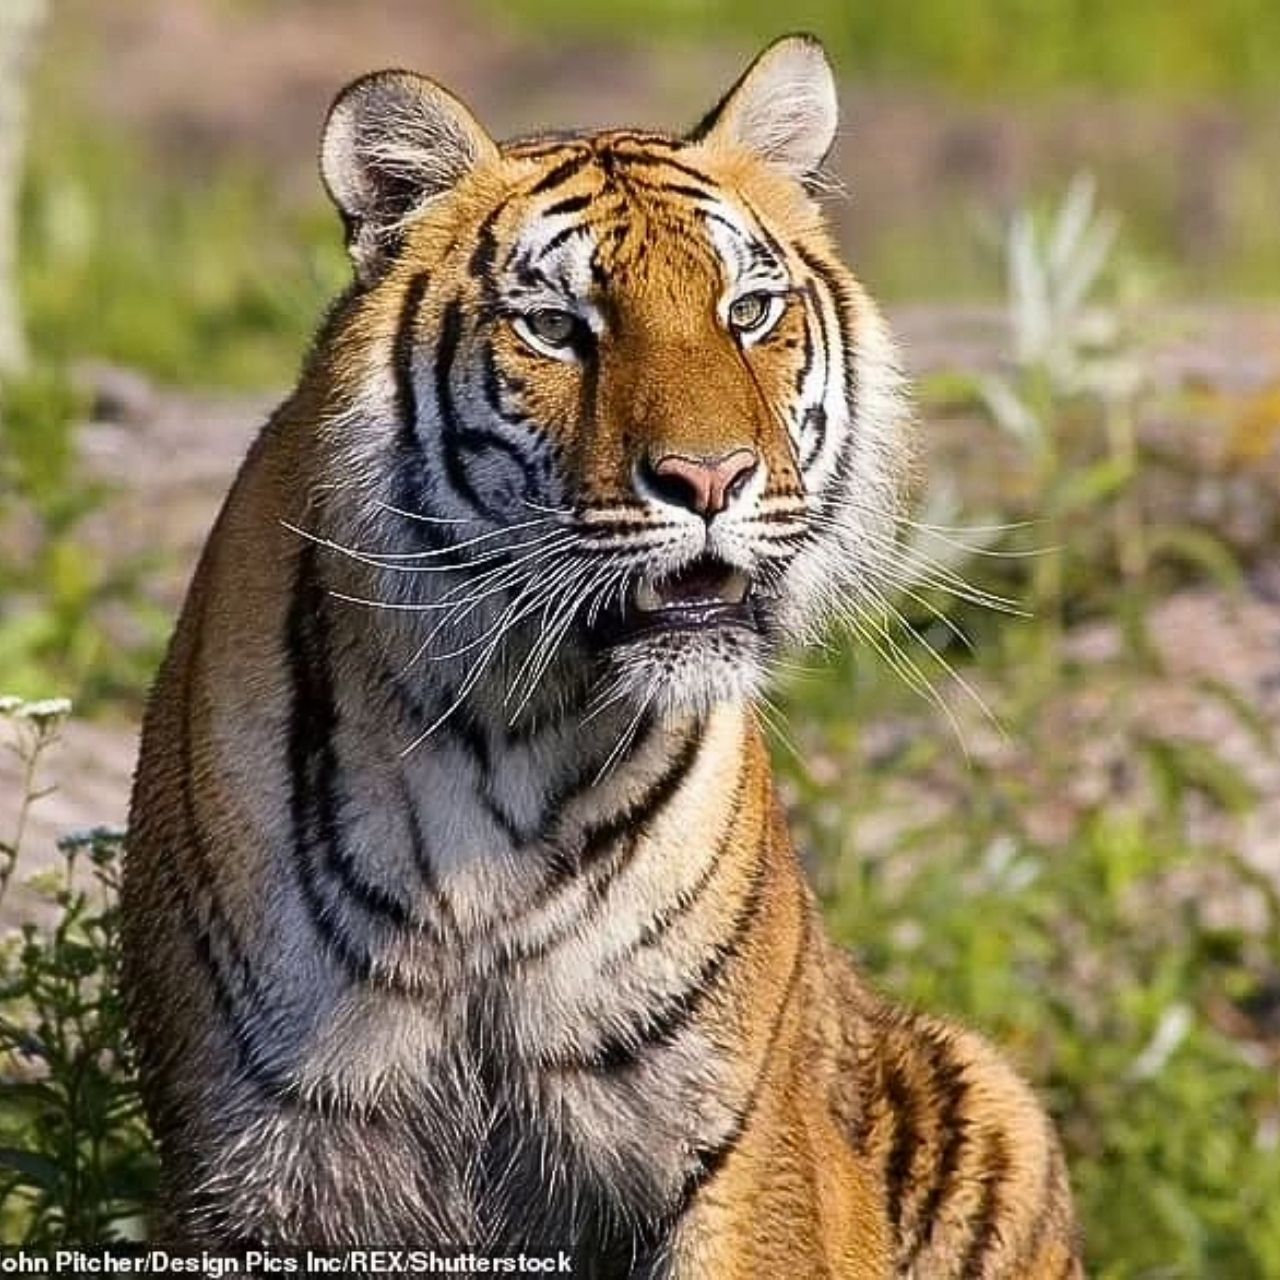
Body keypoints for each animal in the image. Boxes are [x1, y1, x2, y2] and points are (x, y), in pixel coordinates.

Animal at [121, 33, 1082, 1278]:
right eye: (556, 326)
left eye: (748, 309)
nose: (712, 478)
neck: (501, 732)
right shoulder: (248, 1174)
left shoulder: (737, 1147)